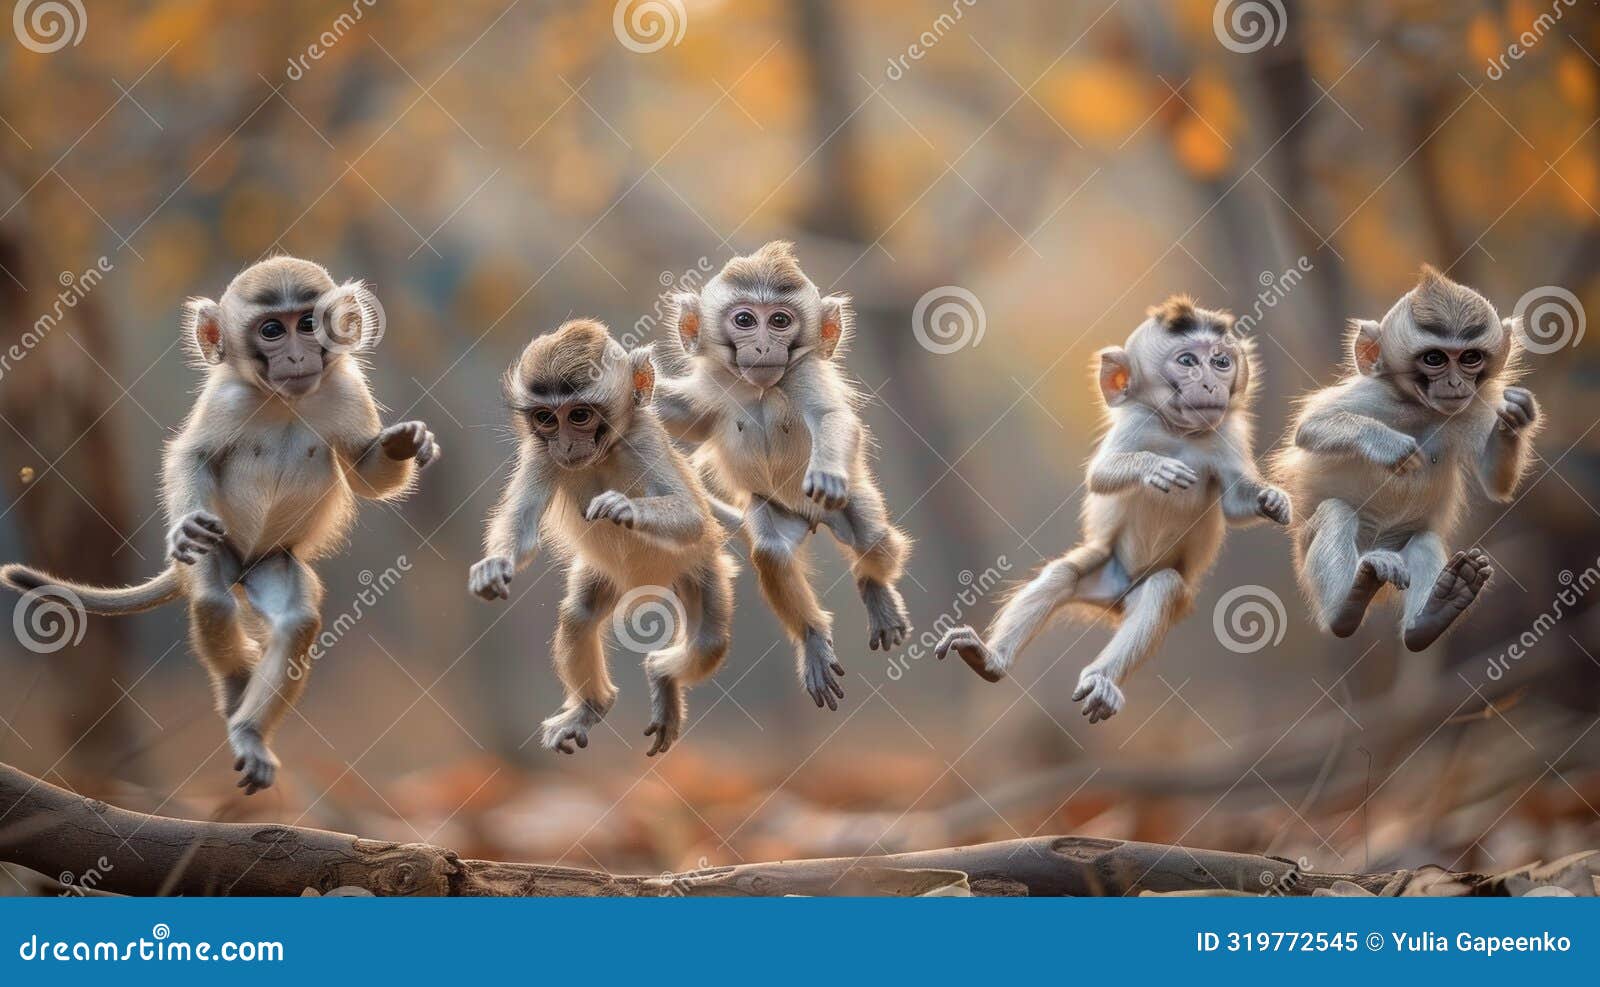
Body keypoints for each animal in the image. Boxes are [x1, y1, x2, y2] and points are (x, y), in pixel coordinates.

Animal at [0, 256, 438, 794]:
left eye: (308, 323)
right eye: (272, 330)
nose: (297, 356)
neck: (284, 400)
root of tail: (245, 568)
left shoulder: (346, 391)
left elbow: (364, 473)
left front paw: (404, 443)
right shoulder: (226, 399)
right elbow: (193, 457)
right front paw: (185, 523)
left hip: (274, 561)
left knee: (296, 621)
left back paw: (251, 727)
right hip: (217, 554)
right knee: (212, 599)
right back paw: (235, 688)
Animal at [469, 319, 734, 757]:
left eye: (579, 415)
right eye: (546, 418)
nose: (565, 443)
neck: (604, 453)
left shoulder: (643, 439)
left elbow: (693, 519)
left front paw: (623, 509)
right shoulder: (540, 453)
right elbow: (522, 525)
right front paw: (495, 565)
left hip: (700, 568)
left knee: (709, 643)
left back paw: (662, 673)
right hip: (606, 576)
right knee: (580, 616)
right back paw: (592, 706)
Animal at [650, 241, 911, 711]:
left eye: (780, 321)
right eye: (744, 320)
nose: (762, 347)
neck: (760, 390)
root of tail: (812, 521)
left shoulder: (805, 375)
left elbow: (831, 418)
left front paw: (827, 473)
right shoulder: (717, 383)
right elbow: (680, 417)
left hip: (853, 503)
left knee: (872, 539)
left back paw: (875, 587)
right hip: (772, 510)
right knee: (772, 551)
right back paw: (812, 637)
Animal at [934, 297, 1290, 723]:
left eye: (1221, 362)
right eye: (1188, 361)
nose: (1210, 384)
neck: (1179, 433)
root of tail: (1118, 601)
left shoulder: (1228, 434)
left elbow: (1236, 505)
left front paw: (1272, 499)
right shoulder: (1137, 422)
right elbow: (1101, 476)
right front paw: (1154, 468)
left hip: (1158, 596)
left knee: (1162, 589)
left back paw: (1102, 681)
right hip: (1107, 570)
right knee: (1065, 574)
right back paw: (989, 659)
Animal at [1270, 266, 1538, 651]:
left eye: (1470, 357)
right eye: (1434, 358)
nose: (1456, 384)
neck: (1419, 407)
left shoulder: (1476, 406)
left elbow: (1496, 483)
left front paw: (1514, 419)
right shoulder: (1373, 393)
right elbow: (1310, 428)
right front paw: (1388, 445)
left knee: (1424, 541)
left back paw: (1433, 615)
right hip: (1309, 551)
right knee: (1336, 514)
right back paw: (1346, 608)